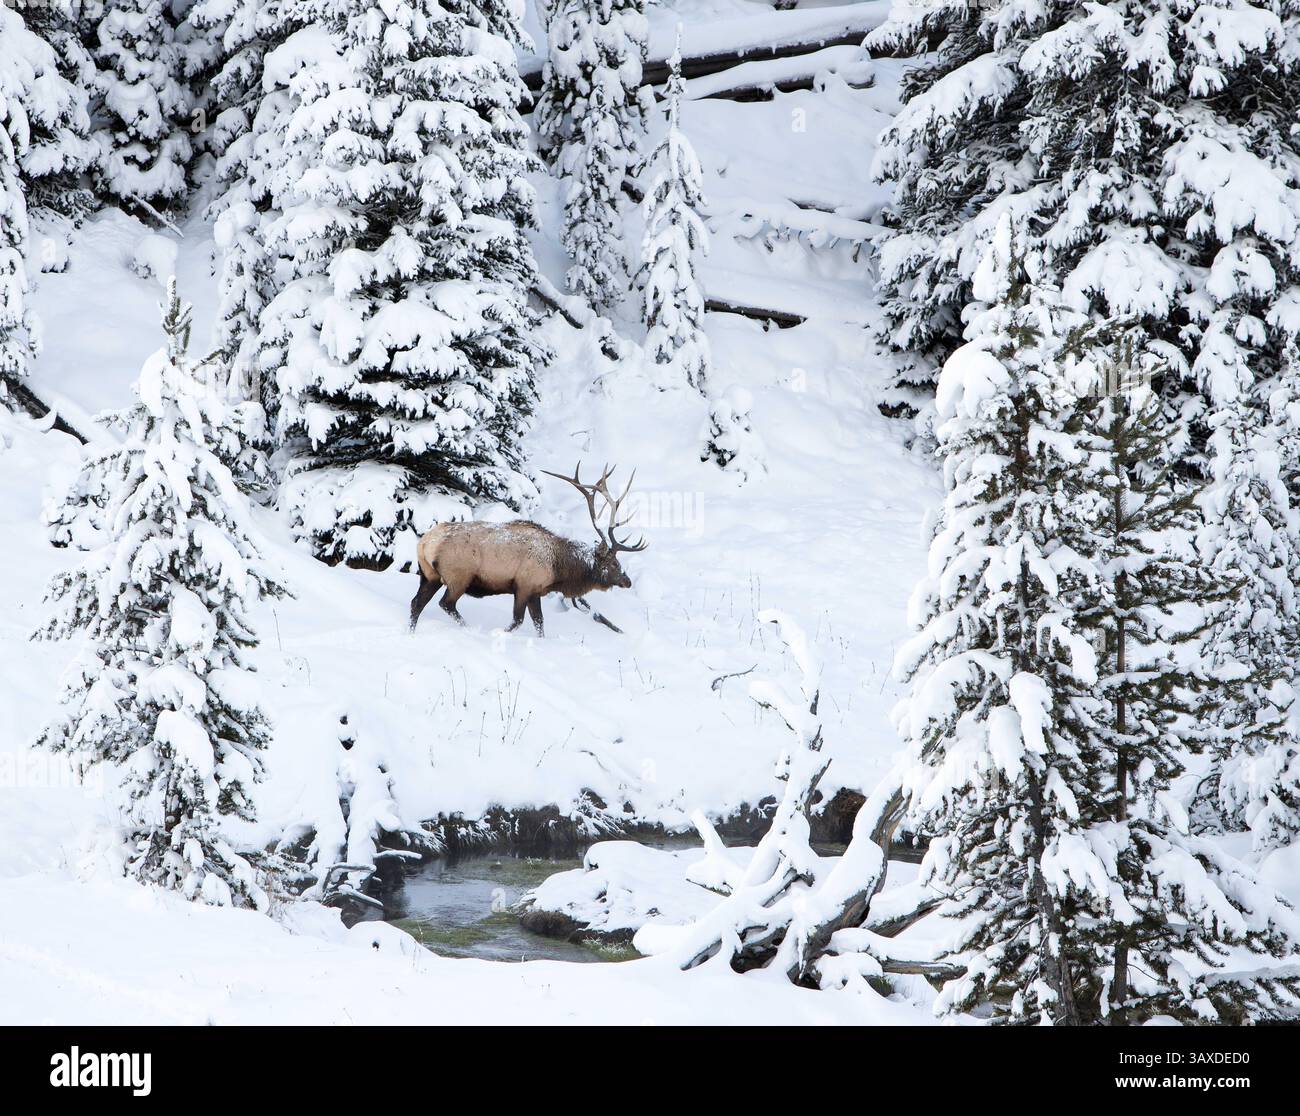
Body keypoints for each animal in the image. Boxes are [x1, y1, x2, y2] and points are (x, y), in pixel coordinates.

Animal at [408, 463, 648, 637]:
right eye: (614, 563)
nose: (627, 581)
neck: (559, 570)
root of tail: (425, 543)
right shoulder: (525, 585)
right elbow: (518, 620)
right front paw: (499, 634)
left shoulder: (535, 591)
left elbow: (539, 623)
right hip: (458, 576)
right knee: (446, 604)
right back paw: (469, 629)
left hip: (428, 575)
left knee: (416, 604)